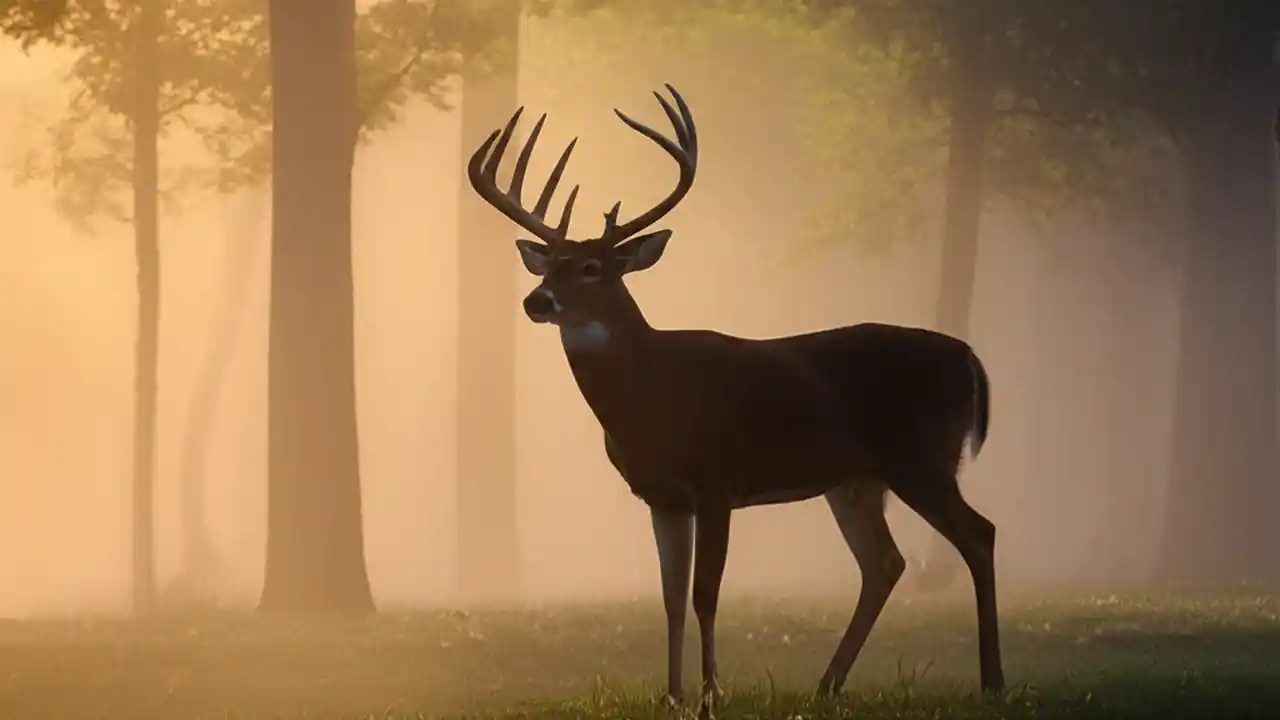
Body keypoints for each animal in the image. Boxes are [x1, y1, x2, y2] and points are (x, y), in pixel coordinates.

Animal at [466, 85, 1004, 717]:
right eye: (548, 264)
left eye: (593, 267)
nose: (537, 300)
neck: (651, 397)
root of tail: (969, 357)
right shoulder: (661, 495)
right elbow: (671, 596)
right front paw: (672, 696)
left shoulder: (716, 479)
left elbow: (706, 593)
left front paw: (708, 697)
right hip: (856, 479)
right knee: (885, 563)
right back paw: (827, 684)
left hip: (921, 456)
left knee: (978, 534)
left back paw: (992, 680)